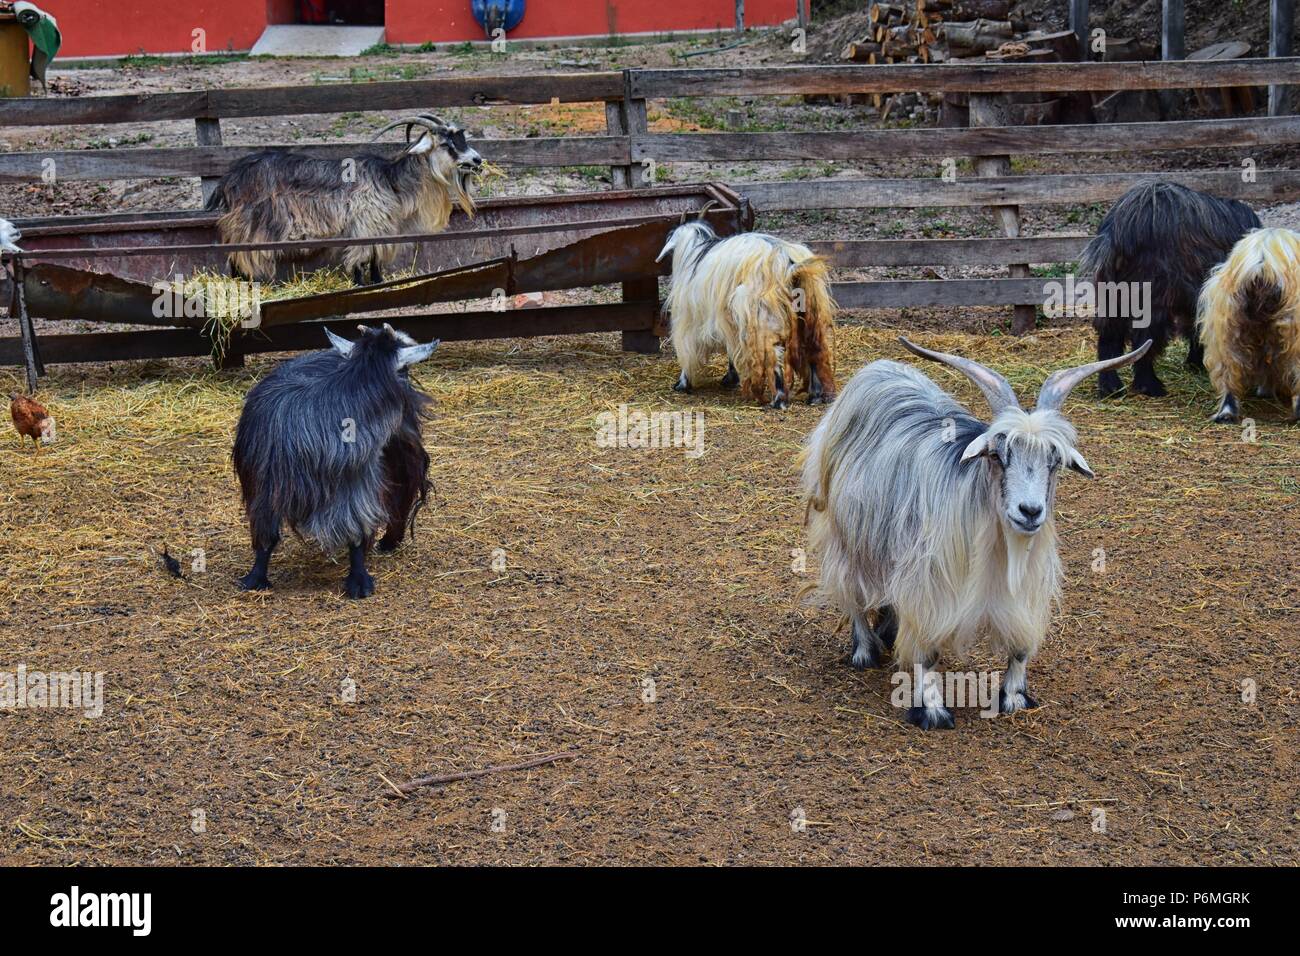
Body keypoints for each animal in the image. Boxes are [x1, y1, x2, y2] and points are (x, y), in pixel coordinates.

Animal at [207, 114, 481, 286]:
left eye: (461, 138)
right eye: (446, 144)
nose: (477, 160)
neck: (391, 180)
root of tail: (228, 179)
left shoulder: (381, 230)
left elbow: (375, 261)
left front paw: (378, 282)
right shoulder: (364, 225)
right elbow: (360, 259)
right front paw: (360, 285)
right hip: (249, 224)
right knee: (238, 254)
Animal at [232, 323, 436, 599]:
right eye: (404, 369)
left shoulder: (359, 484)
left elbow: (358, 530)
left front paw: (359, 580)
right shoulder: (264, 487)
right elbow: (266, 536)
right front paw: (255, 577)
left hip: (399, 447)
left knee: (407, 484)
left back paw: (390, 540)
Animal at [656, 221, 837, 409]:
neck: (692, 254)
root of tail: (790, 263)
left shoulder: (690, 321)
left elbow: (689, 351)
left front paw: (682, 383)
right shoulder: (726, 320)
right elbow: (731, 348)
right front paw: (730, 378)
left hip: (763, 316)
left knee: (775, 354)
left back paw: (778, 400)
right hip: (810, 314)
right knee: (814, 349)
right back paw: (815, 396)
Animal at [801, 337, 1149, 729]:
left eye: (1055, 461)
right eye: (997, 456)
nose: (1030, 511)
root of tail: (877, 368)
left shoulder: (1024, 588)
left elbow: (1021, 645)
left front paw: (1014, 697)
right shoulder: (929, 583)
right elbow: (926, 650)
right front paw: (931, 710)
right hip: (843, 532)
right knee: (851, 589)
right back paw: (863, 651)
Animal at [1079, 182, 1259, 398]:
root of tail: (1118, 230)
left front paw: (1195, 362)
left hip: (1112, 293)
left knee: (1109, 336)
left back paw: (1111, 387)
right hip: (1151, 294)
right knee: (1143, 340)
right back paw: (1149, 385)